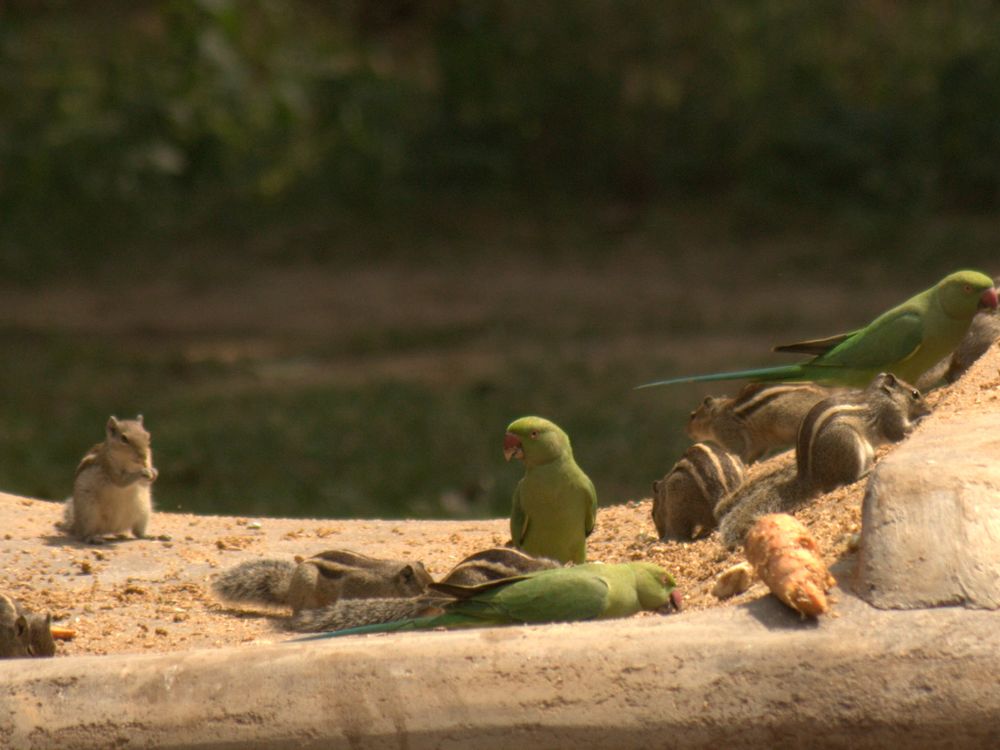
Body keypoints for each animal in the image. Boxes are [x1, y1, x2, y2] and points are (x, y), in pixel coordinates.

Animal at [63, 415, 158, 544]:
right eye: (124, 439)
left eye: (147, 436)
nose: (143, 456)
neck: (131, 464)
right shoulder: (109, 467)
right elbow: (121, 481)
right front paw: (142, 472)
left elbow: (145, 480)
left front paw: (153, 472)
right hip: (88, 513)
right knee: (84, 534)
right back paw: (93, 538)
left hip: (144, 512)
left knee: (138, 533)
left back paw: (150, 536)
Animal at [686, 382, 834, 463]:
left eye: (693, 416)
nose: (687, 432)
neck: (717, 415)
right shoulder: (758, 445)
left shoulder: (730, 434)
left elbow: (739, 452)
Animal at [715, 372, 929, 548]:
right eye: (915, 394)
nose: (927, 407)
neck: (882, 396)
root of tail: (811, 478)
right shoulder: (890, 416)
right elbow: (899, 432)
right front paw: (921, 419)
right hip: (848, 441)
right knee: (847, 478)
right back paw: (866, 470)